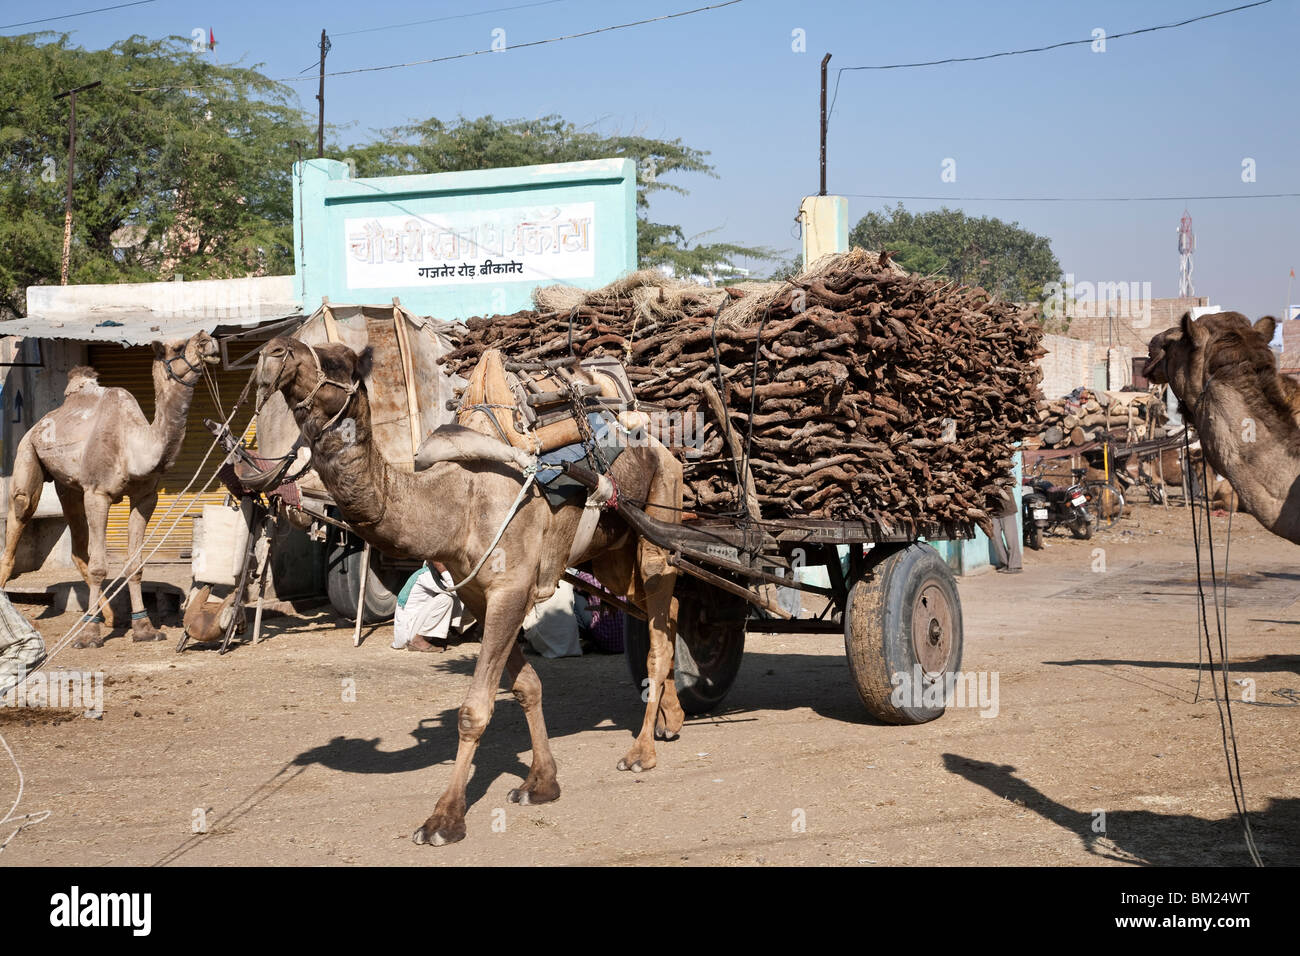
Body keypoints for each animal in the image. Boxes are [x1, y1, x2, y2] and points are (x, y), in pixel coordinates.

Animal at [0, 331, 221, 645]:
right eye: (178, 347)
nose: (207, 339)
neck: (134, 446)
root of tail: (41, 422)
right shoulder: (98, 494)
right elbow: (100, 566)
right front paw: (89, 636)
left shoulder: (145, 496)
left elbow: (134, 564)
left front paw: (144, 628)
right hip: (27, 452)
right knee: (20, 514)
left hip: (68, 488)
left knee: (78, 549)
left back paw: (108, 617)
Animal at [252, 336, 685, 846]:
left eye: (339, 361)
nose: (274, 352)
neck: (457, 500)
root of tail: (659, 444)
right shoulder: (481, 593)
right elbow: (527, 686)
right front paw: (541, 783)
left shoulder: (511, 586)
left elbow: (474, 710)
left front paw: (444, 819)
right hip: (612, 556)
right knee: (667, 610)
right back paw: (673, 718)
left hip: (660, 519)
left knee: (659, 630)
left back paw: (641, 751)